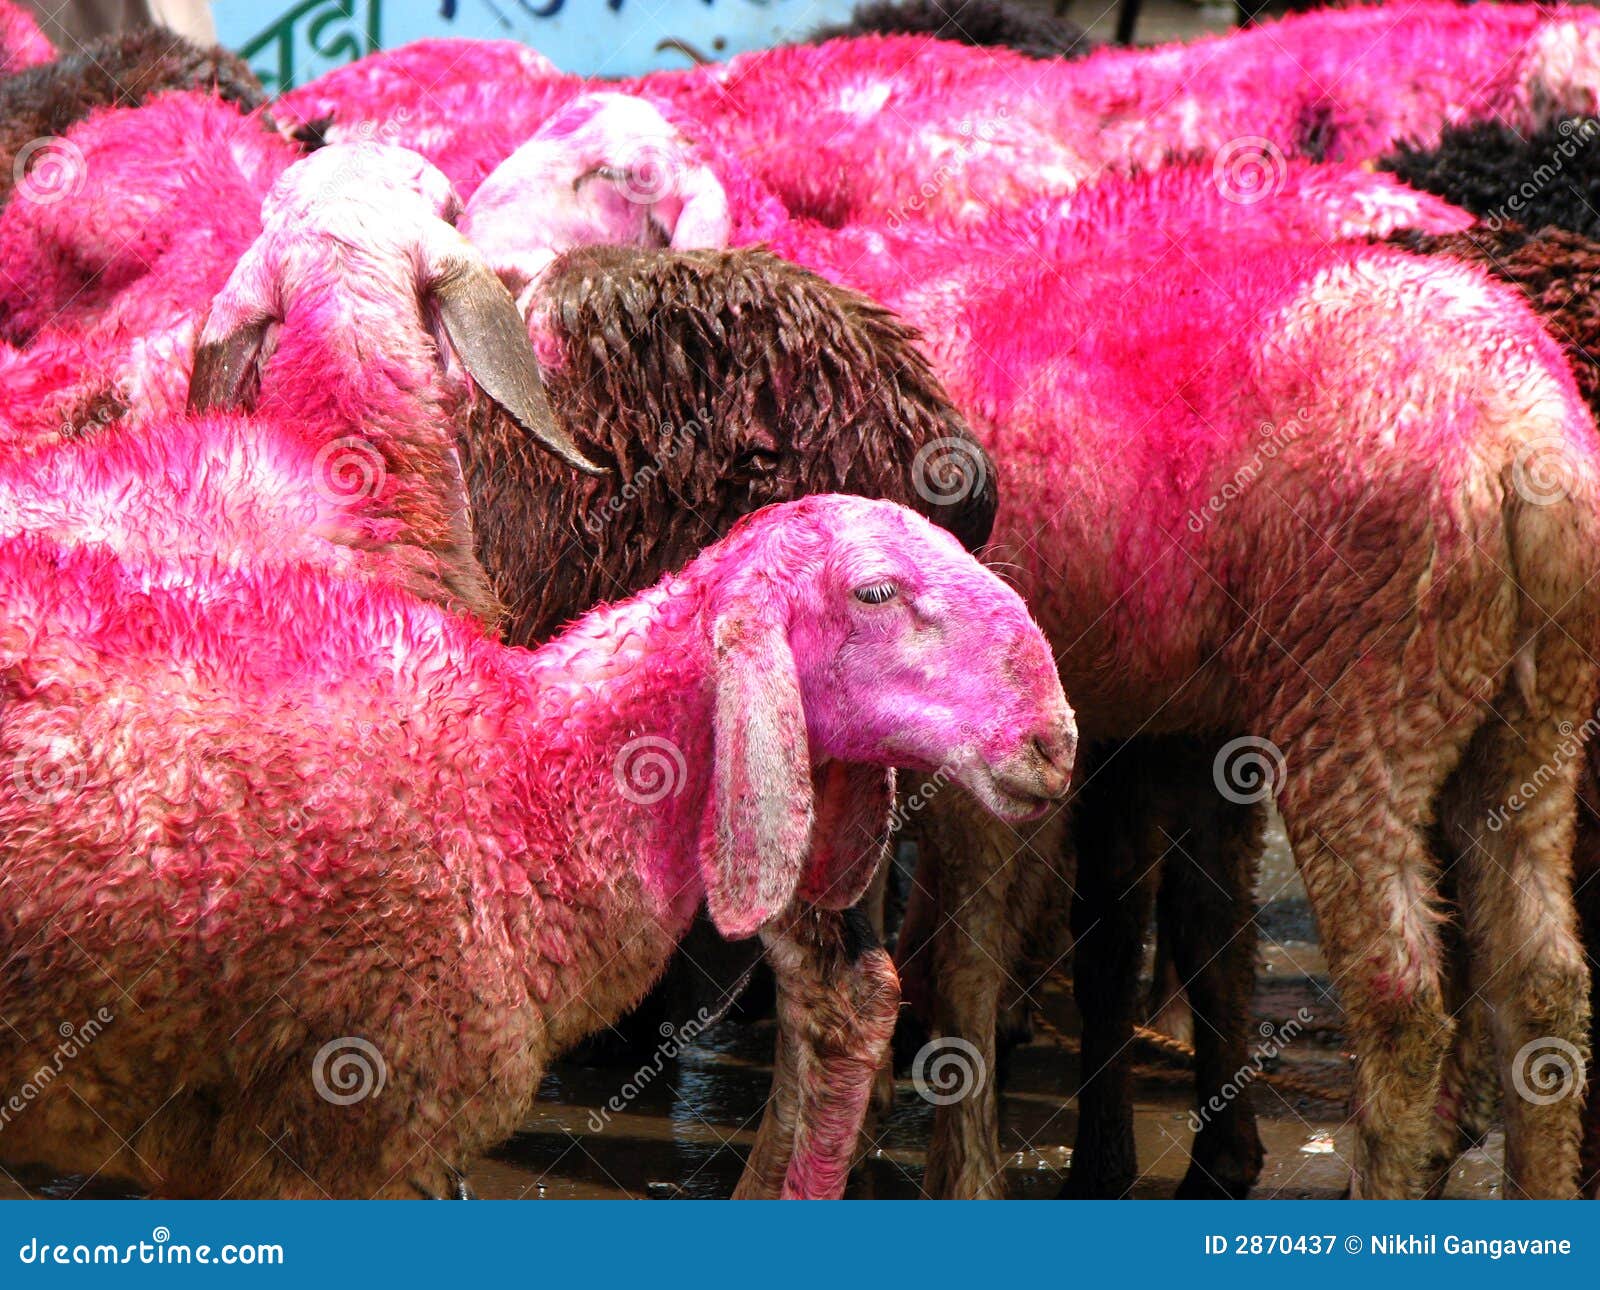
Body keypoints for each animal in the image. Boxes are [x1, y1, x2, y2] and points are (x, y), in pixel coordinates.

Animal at [475, 100, 1600, 1198]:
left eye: (614, 175)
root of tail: (1523, 441)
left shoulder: (979, 732)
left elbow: (963, 949)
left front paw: (947, 1164)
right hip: (1528, 715)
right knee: (1542, 980)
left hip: (1361, 694)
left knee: (1400, 1002)